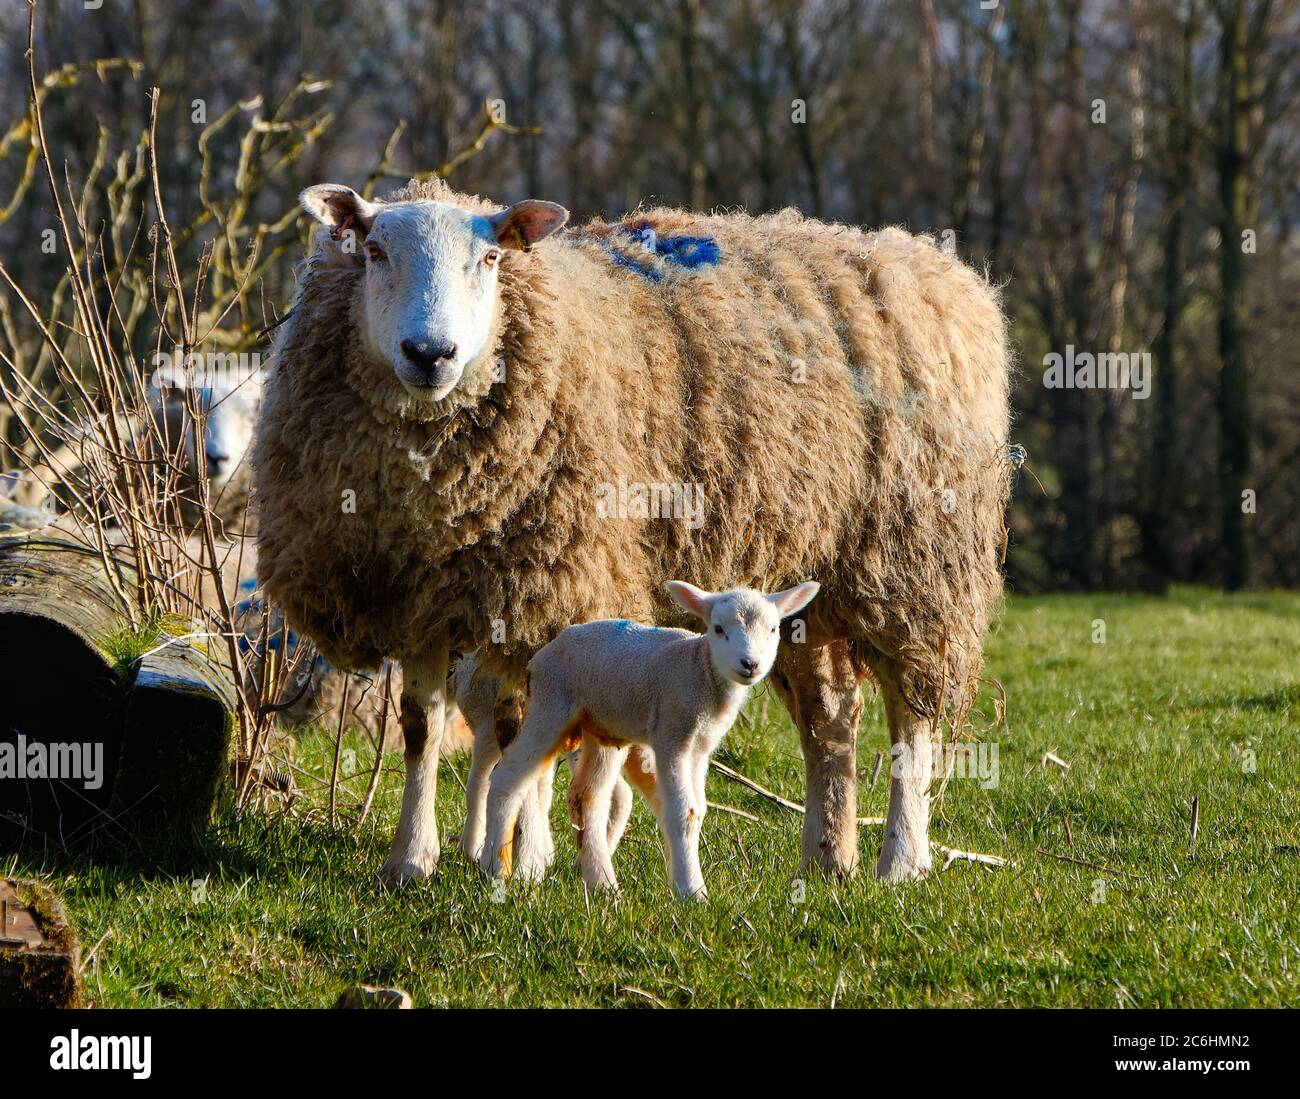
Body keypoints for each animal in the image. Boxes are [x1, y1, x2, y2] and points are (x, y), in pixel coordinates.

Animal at [482, 580, 819, 899]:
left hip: (603, 727)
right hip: (551, 703)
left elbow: (699, 810)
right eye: (718, 629)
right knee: (507, 778)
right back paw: (497, 872)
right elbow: (684, 811)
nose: (750, 664)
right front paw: (692, 892)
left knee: (587, 798)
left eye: (773, 629)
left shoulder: (700, 748)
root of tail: (541, 655)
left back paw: (603, 886)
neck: (700, 669)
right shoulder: (673, 734)